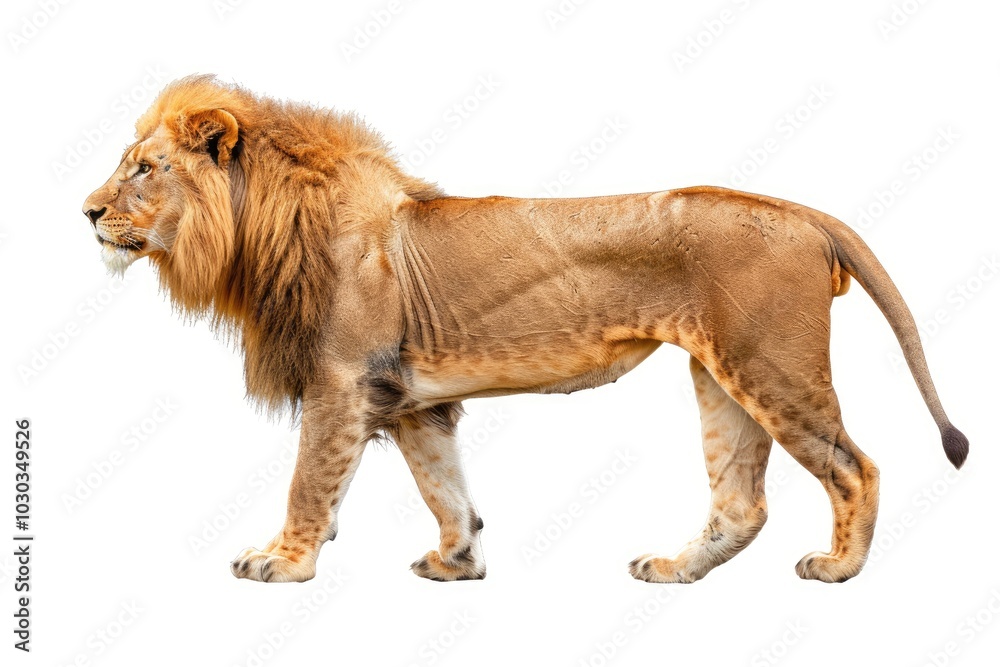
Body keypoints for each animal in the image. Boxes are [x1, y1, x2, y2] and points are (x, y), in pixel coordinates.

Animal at [82, 75, 968, 585]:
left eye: (144, 169)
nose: (86, 212)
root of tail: (801, 211)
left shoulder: (341, 379)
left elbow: (310, 480)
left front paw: (282, 559)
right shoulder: (408, 397)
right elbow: (443, 484)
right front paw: (457, 560)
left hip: (772, 364)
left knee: (856, 467)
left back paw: (840, 567)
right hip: (720, 374)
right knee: (741, 502)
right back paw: (674, 569)